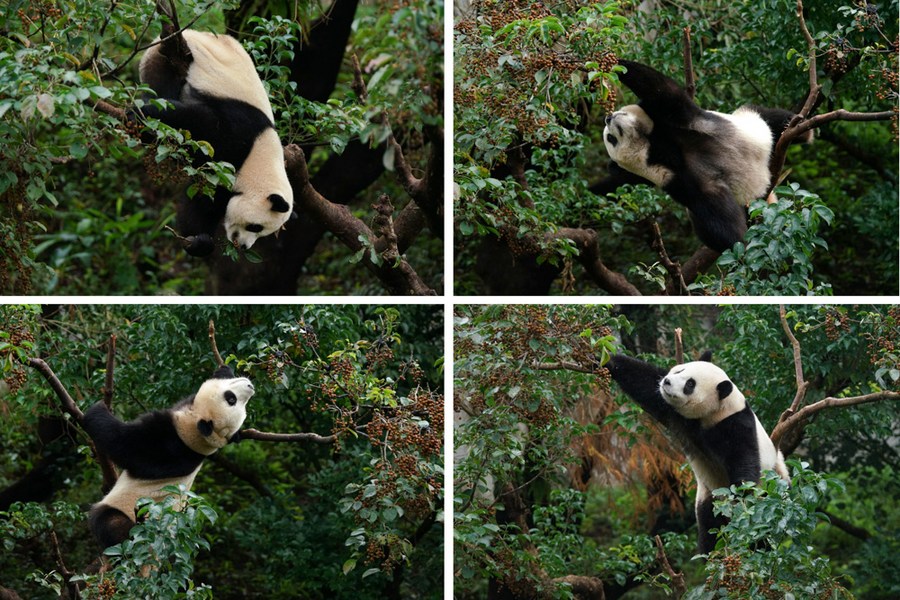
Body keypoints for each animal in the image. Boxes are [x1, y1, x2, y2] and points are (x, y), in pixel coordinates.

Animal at [81, 365, 254, 548]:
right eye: (231, 399)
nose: (250, 386)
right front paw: (224, 370)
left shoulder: (169, 446)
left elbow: (121, 443)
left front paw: (96, 409)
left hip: (128, 508)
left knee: (112, 523)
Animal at [136, 28, 294, 257]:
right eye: (255, 226)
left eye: (262, 233)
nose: (244, 246)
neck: (260, 156)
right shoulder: (239, 135)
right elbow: (203, 125)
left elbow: (209, 200)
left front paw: (199, 241)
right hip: (167, 60)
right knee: (163, 91)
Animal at [591, 60, 812, 252]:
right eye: (610, 138)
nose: (608, 117)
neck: (654, 145)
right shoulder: (677, 177)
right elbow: (715, 213)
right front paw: (741, 243)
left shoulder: (675, 120)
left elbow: (663, 91)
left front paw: (604, 63)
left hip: (754, 123)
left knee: (771, 119)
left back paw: (798, 128)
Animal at [603, 352, 789, 554]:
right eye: (679, 370)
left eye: (690, 384)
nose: (667, 381)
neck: (718, 409)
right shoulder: (673, 410)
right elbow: (643, 380)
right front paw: (606, 358)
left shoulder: (735, 424)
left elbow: (744, 461)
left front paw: (742, 498)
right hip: (709, 496)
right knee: (710, 527)